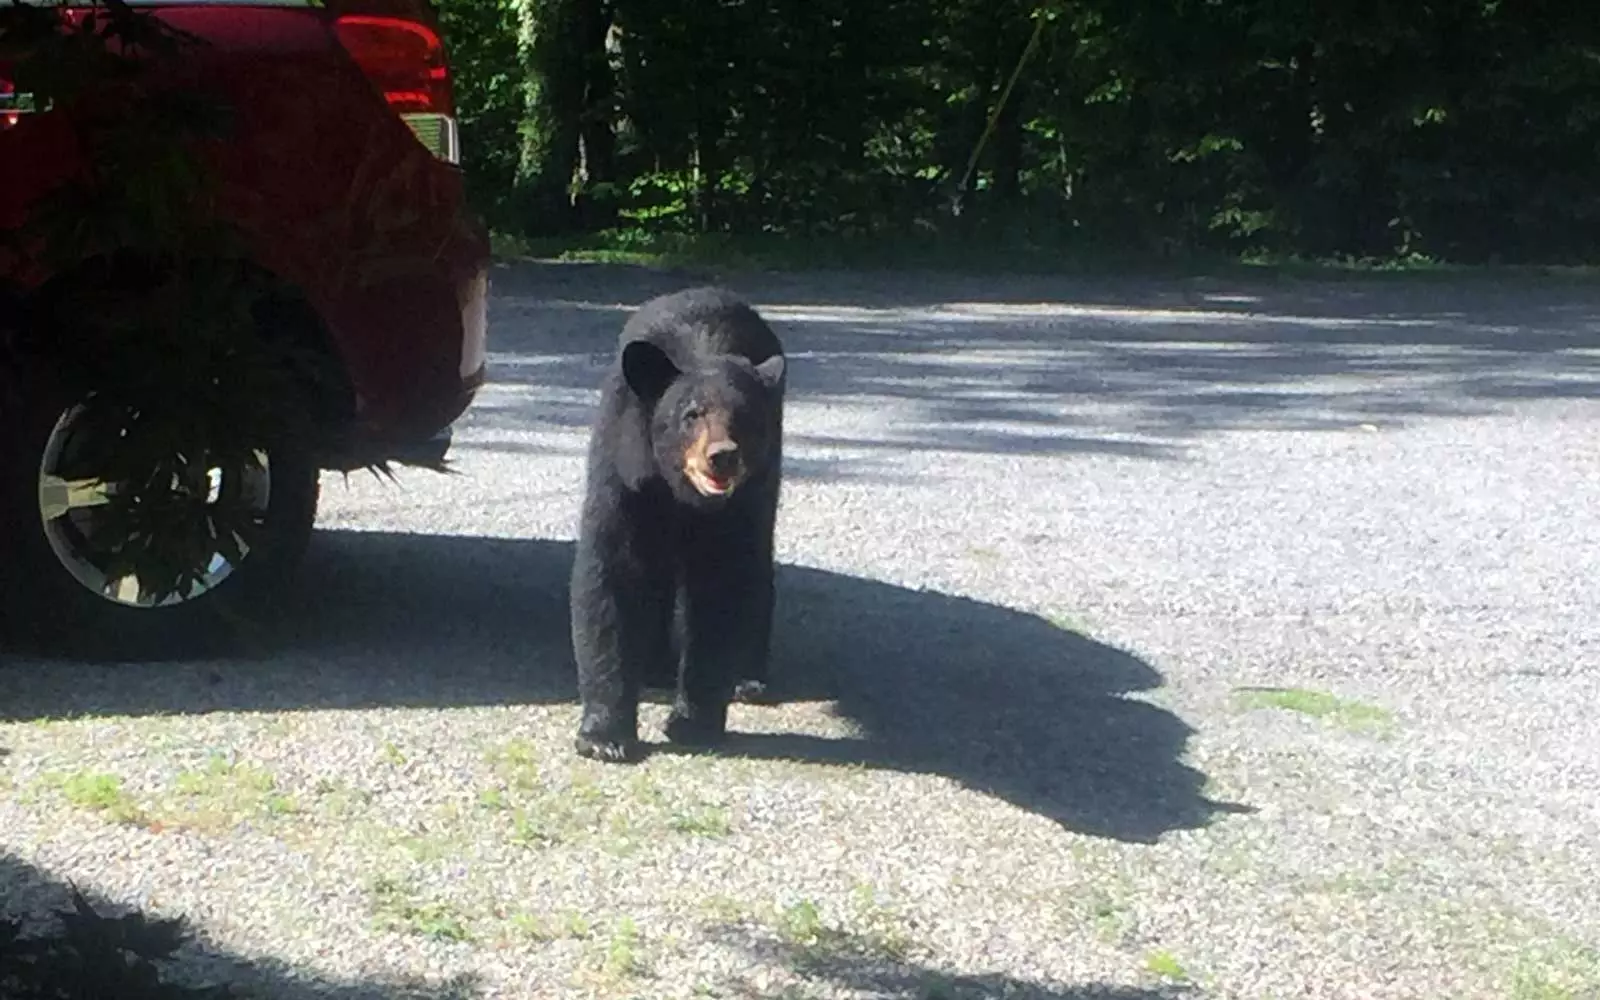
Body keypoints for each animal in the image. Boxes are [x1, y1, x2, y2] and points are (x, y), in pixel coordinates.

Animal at [572, 284, 790, 761]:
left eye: (745, 418)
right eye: (691, 413)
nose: (722, 456)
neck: (680, 493)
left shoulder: (736, 507)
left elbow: (721, 590)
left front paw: (694, 722)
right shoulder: (623, 470)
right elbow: (612, 576)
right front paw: (603, 736)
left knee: (758, 565)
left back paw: (749, 677)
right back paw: (653, 666)